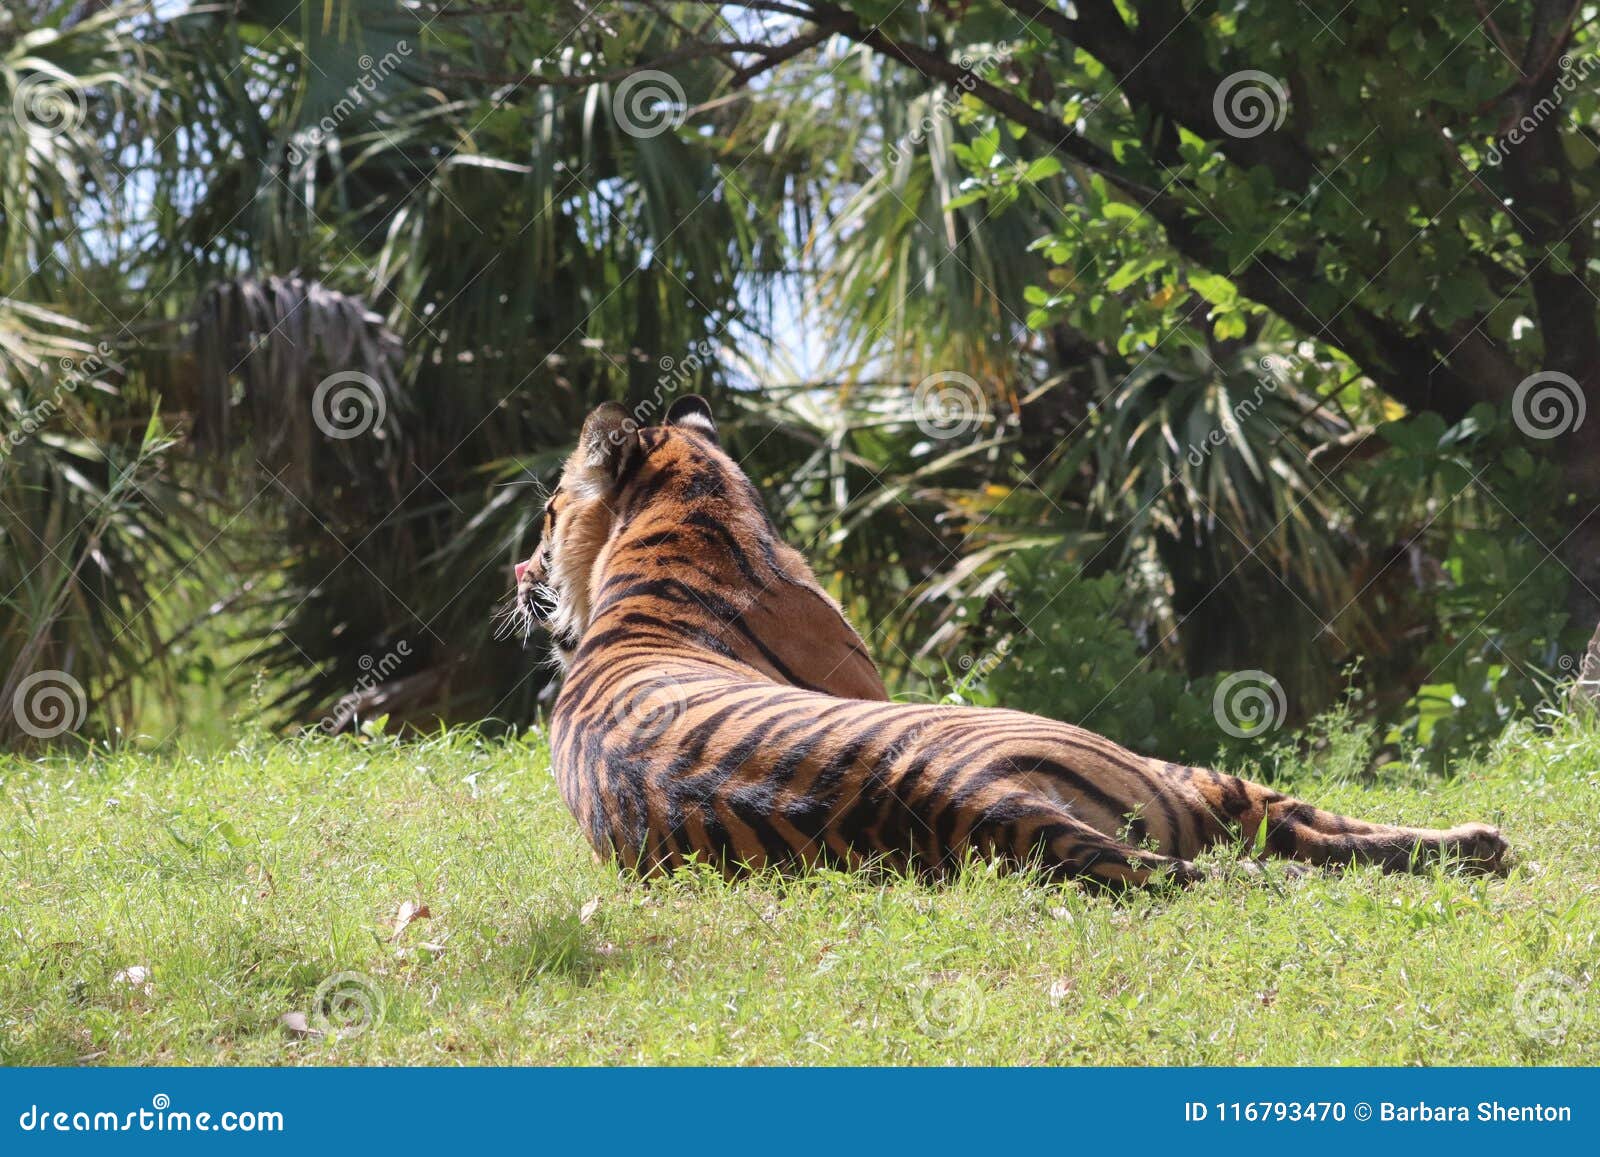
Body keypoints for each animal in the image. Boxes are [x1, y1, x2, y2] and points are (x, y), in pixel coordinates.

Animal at [507, 395, 1510, 887]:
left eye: (548, 511)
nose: (519, 571)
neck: (676, 524)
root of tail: (963, 801)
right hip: (1164, 774)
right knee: (1300, 823)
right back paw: (1485, 842)